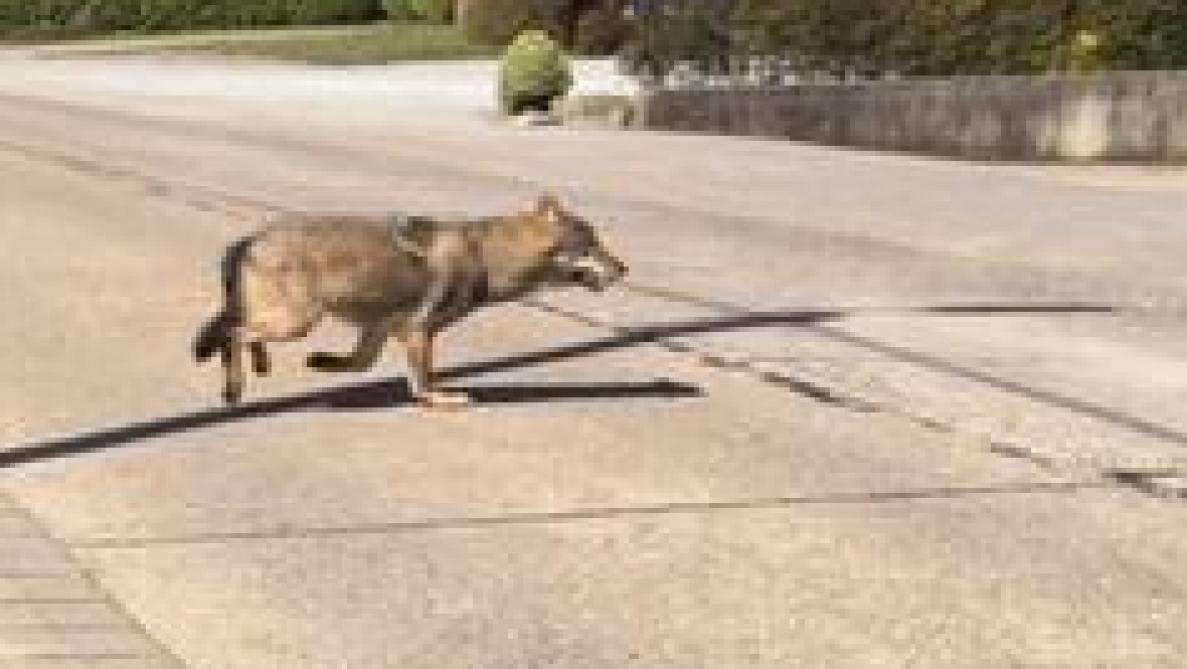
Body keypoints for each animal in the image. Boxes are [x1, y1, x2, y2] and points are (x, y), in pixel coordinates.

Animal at [193, 194, 627, 408]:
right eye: (593, 245)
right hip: (298, 322)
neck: (487, 256)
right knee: (234, 332)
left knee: (238, 331)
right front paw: (440, 399)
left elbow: (358, 365)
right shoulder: (419, 332)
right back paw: (235, 386)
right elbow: (422, 381)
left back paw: (258, 365)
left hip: (291, 322)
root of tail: (248, 239)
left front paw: (323, 362)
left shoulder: (381, 329)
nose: (624, 268)